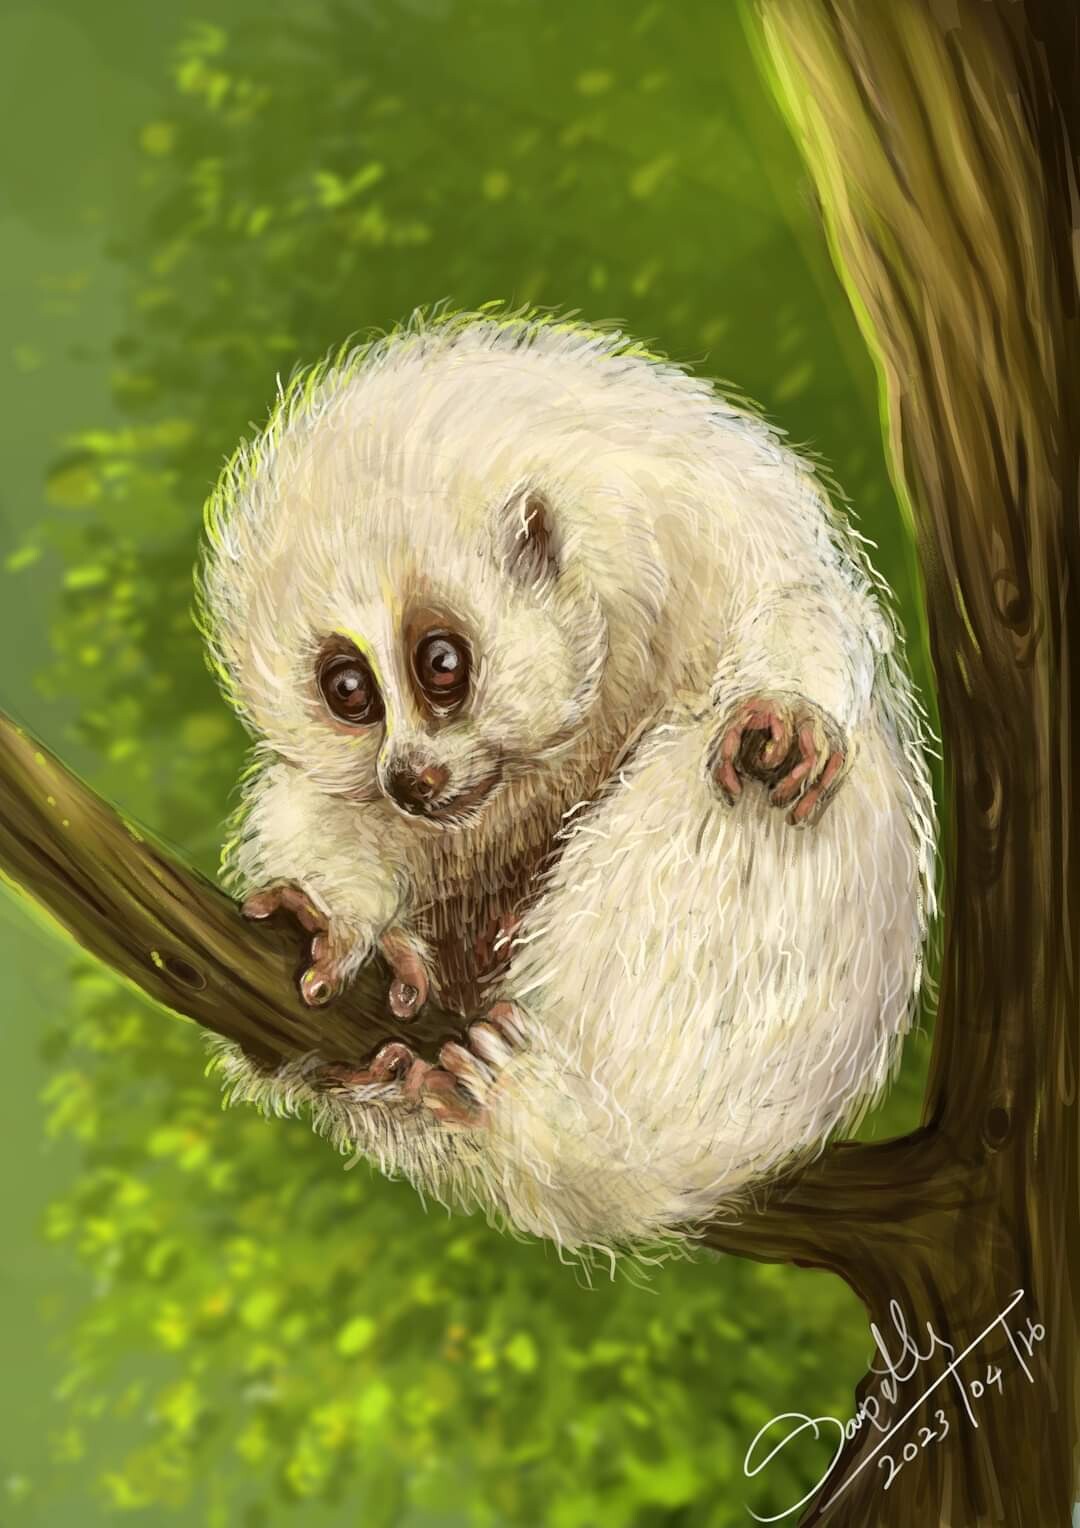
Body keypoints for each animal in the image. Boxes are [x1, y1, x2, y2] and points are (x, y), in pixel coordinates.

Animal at [199, 307, 937, 1255]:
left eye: (442, 665)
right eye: (348, 691)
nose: (410, 778)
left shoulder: (716, 514)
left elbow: (794, 607)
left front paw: (787, 712)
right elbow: (329, 806)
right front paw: (329, 920)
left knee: (731, 787)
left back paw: (556, 1132)